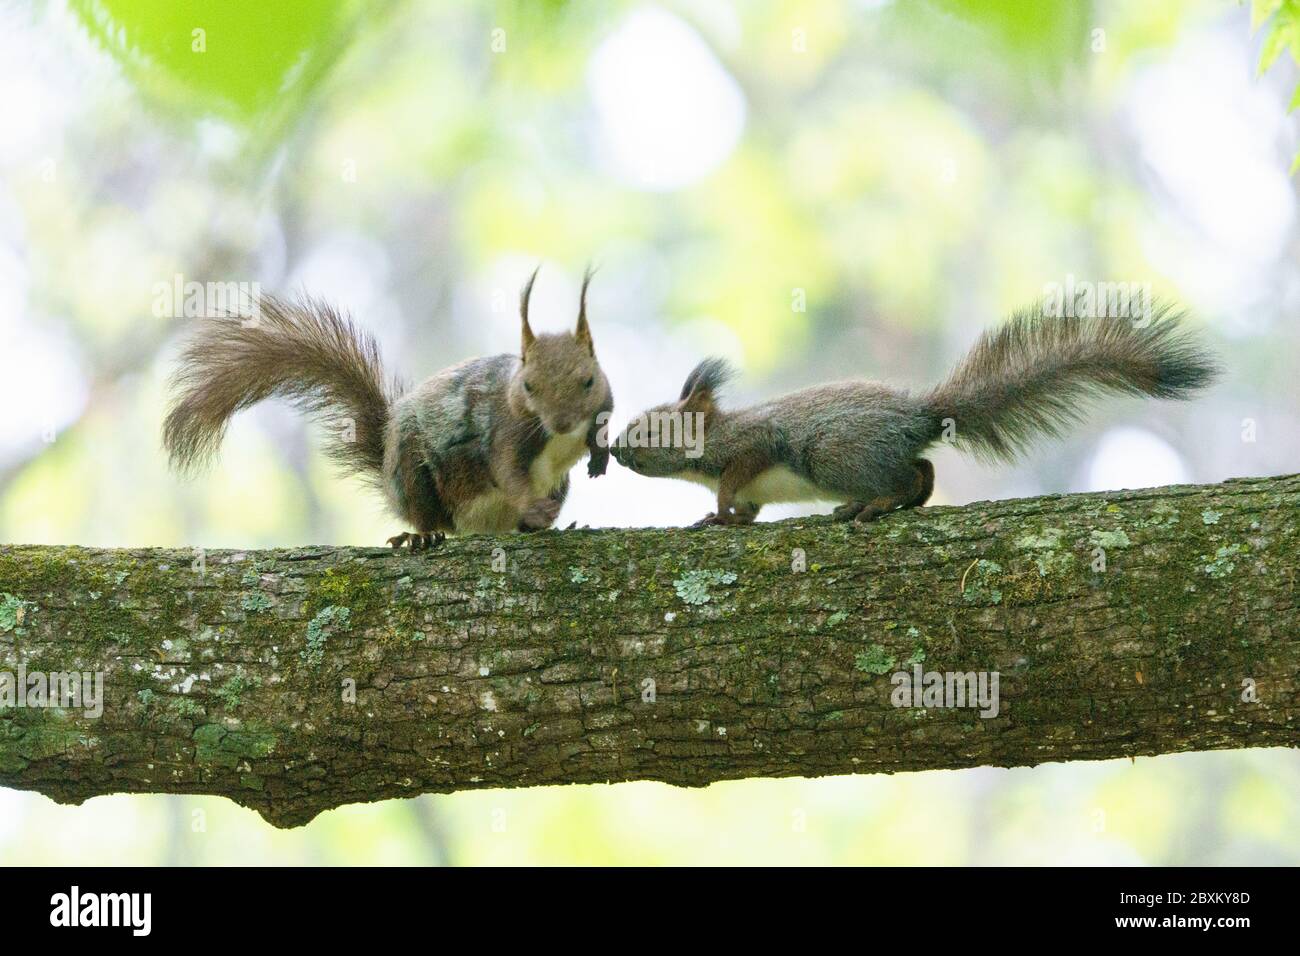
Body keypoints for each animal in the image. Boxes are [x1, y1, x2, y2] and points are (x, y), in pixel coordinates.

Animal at [163, 267, 613, 549]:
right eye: (529, 386)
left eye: (589, 380)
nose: (562, 422)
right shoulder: (506, 433)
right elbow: (507, 471)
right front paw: (535, 503)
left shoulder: (603, 405)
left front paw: (599, 457)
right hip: (415, 474)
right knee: (430, 517)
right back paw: (422, 536)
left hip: (556, 485)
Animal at [611, 302, 1219, 526]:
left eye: (649, 427)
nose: (613, 450)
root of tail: (922, 417)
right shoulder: (756, 486)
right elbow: (750, 510)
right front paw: (727, 518)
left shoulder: (753, 445)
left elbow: (734, 483)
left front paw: (717, 512)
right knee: (924, 471)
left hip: (831, 456)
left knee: (906, 473)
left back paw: (876, 504)